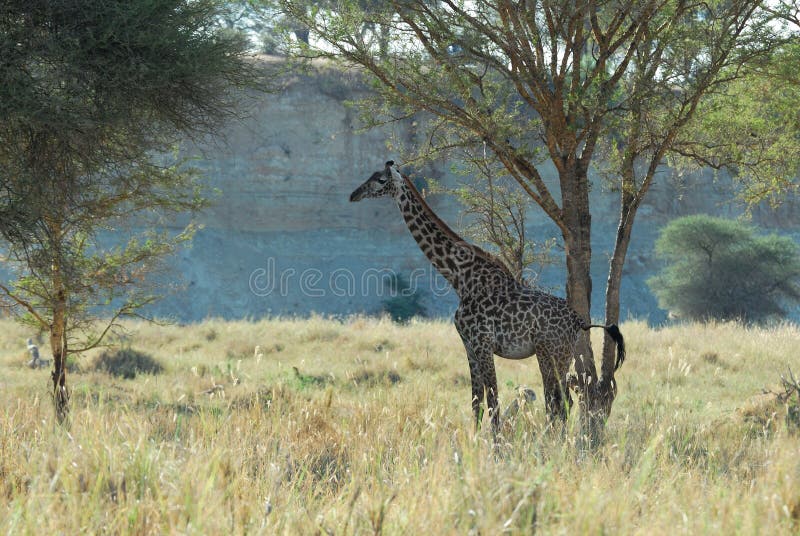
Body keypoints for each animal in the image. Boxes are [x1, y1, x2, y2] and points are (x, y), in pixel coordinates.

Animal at [350, 161, 625, 433]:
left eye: (381, 180)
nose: (354, 194)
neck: (461, 279)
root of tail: (580, 321)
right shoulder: (469, 344)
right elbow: (477, 403)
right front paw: (474, 442)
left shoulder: (483, 343)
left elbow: (493, 402)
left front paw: (495, 445)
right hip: (556, 354)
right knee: (559, 401)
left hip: (552, 353)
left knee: (558, 401)